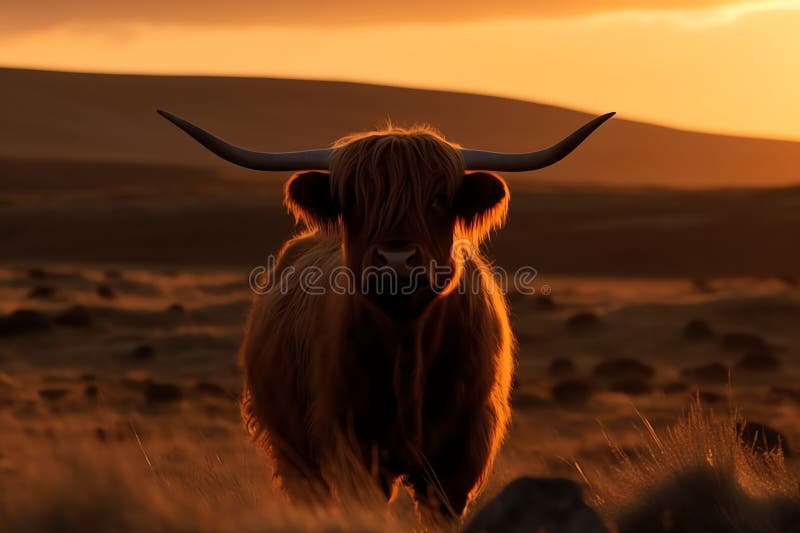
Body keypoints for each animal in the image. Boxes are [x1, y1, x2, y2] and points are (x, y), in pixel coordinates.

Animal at [159, 109, 613, 522]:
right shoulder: (352, 448)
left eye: (438, 198)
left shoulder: (458, 461)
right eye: (354, 200)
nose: (396, 260)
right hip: (293, 452)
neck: (407, 343)